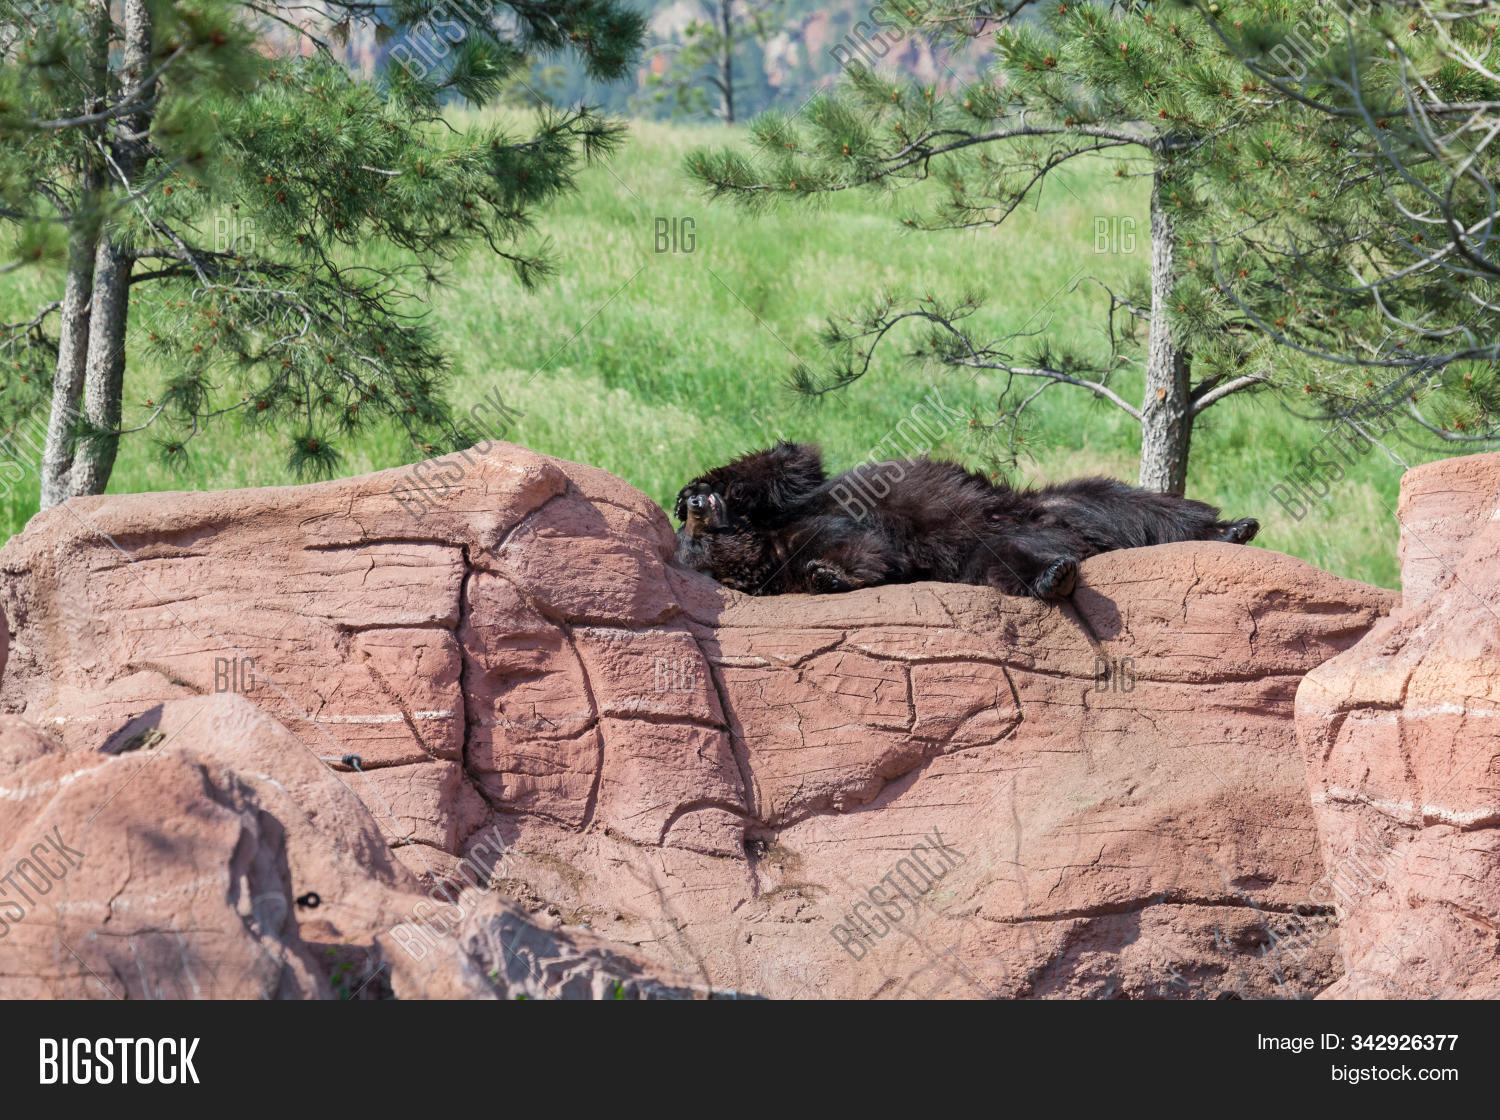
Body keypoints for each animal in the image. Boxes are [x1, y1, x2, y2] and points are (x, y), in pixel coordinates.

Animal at [672, 441, 1259, 599]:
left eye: (690, 535)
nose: (697, 514)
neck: (768, 540)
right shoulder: (792, 554)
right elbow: (868, 557)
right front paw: (828, 576)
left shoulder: (805, 503)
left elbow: (787, 464)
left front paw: (696, 488)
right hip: (980, 548)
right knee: (1004, 563)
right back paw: (1053, 576)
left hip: (1056, 500)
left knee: (1136, 505)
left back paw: (1232, 528)